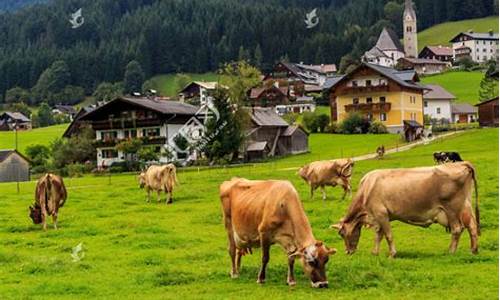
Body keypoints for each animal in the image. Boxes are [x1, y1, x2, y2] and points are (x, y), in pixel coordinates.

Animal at [330, 162, 478, 258]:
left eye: (341, 234)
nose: (347, 252)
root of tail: (461, 163)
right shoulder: (378, 218)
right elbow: (378, 235)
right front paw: (375, 253)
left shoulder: (381, 214)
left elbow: (388, 235)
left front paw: (392, 254)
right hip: (466, 207)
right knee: (472, 226)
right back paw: (473, 250)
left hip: (452, 209)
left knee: (457, 229)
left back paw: (451, 252)